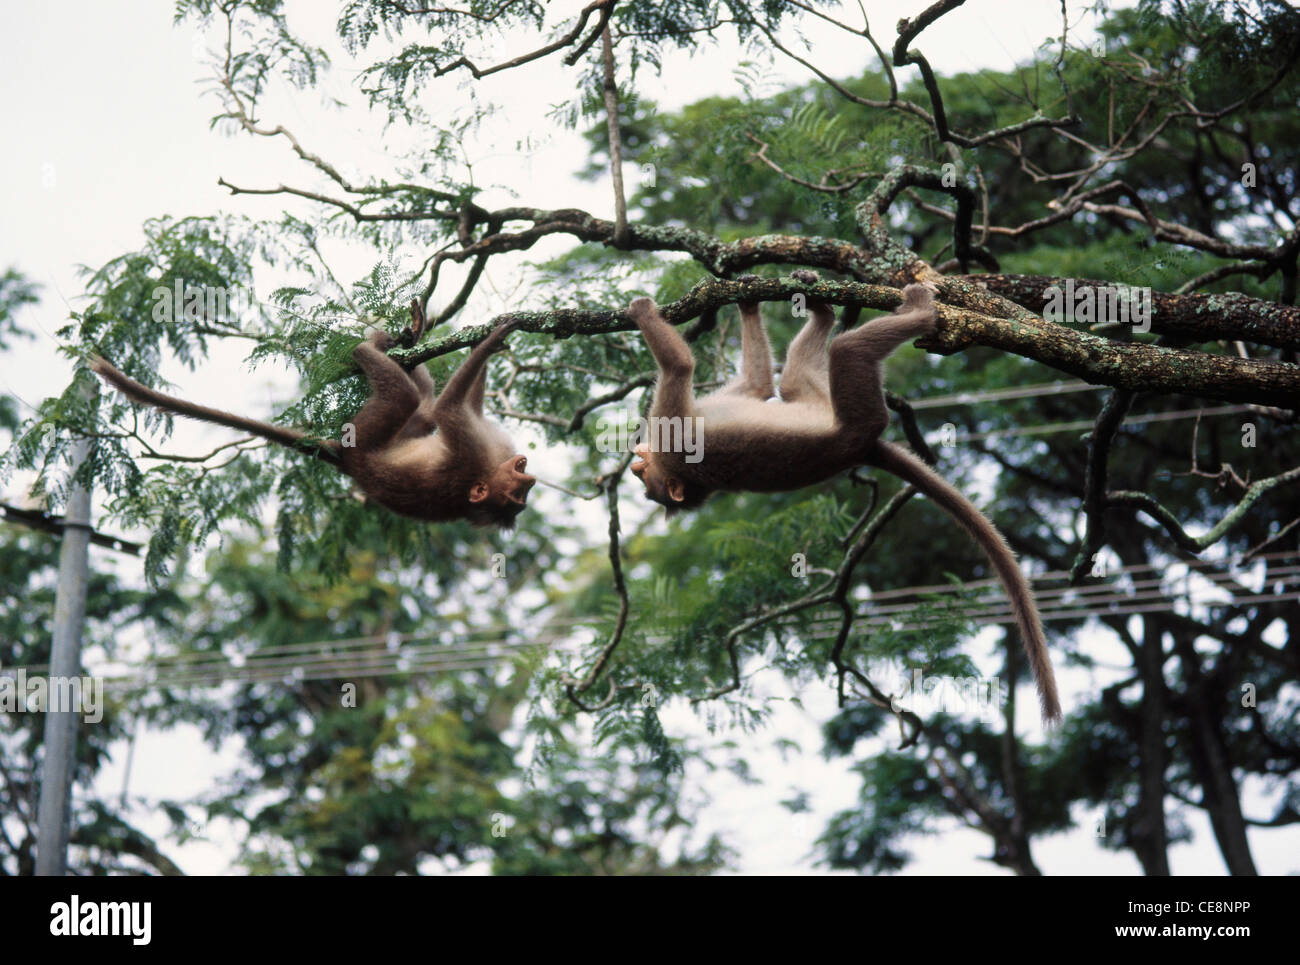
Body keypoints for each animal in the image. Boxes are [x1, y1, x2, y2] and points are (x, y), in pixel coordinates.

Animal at [90, 299, 536, 529]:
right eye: (522, 490)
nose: (529, 478)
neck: (483, 475)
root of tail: (348, 460)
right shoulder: (477, 448)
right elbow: (458, 407)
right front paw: (492, 339)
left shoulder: (470, 452)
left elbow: (451, 409)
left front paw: (491, 340)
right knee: (422, 411)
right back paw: (391, 340)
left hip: (365, 434)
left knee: (407, 401)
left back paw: (364, 349)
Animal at [626, 273, 1062, 723]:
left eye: (645, 482)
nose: (636, 469)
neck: (683, 471)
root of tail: (862, 450)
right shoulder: (680, 444)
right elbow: (682, 367)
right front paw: (644, 312)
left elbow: (753, 384)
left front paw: (740, 302)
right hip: (858, 417)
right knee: (847, 351)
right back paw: (917, 313)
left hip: (823, 401)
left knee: (797, 377)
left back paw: (830, 309)